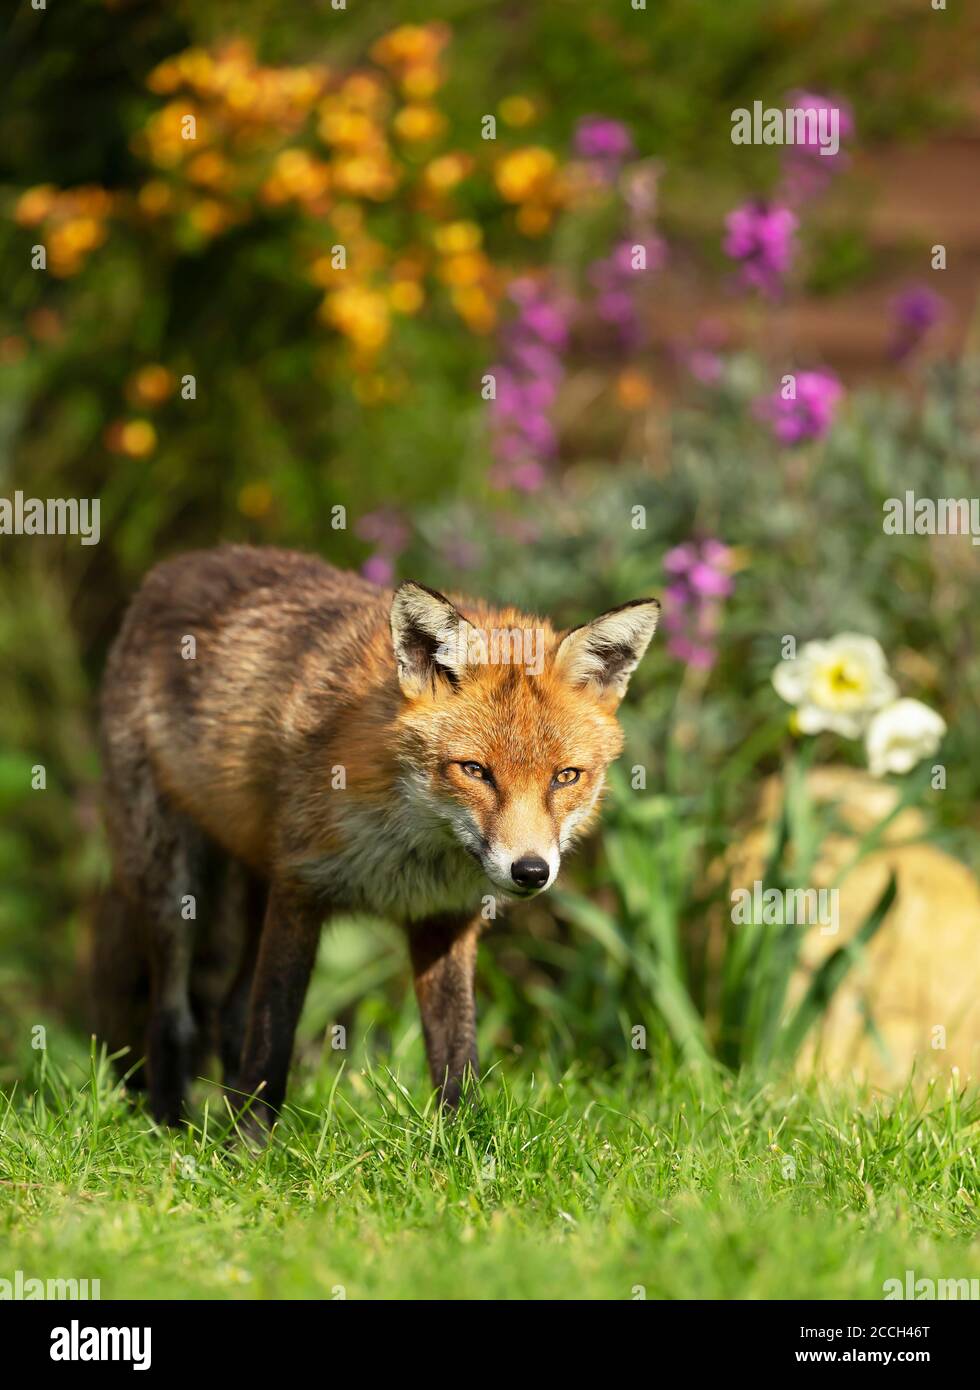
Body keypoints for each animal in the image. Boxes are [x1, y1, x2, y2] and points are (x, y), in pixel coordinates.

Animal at [94, 544, 659, 1130]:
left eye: (565, 777)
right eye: (475, 771)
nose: (530, 871)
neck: (412, 850)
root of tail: (184, 561)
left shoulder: (443, 919)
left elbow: (457, 1056)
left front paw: (466, 1143)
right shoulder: (300, 888)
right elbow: (272, 1039)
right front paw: (246, 1146)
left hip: (253, 879)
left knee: (229, 1012)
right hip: (171, 884)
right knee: (174, 1014)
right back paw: (168, 1124)